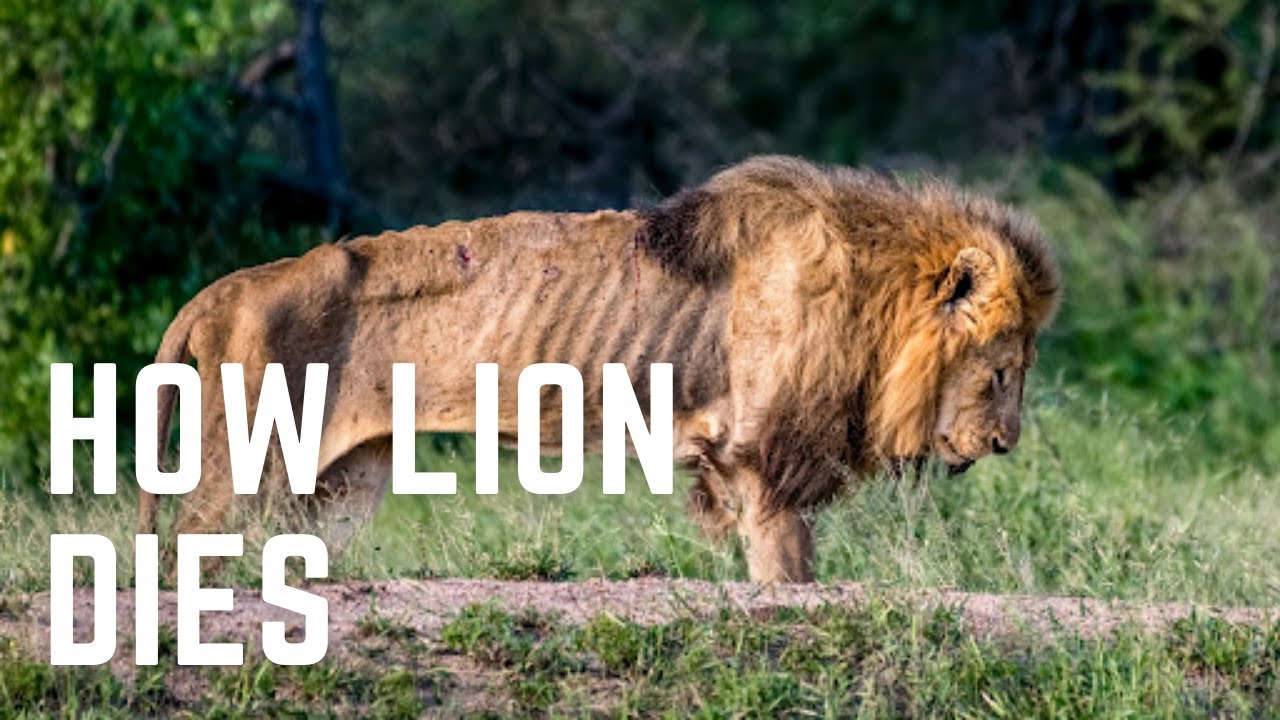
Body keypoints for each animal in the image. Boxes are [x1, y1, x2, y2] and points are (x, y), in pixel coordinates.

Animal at [139, 155, 1059, 583]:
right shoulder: (763, 457)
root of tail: (223, 289)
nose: (1007, 444)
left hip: (335, 485)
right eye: (1000, 372)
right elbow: (790, 571)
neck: (874, 299)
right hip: (246, 463)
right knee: (189, 551)